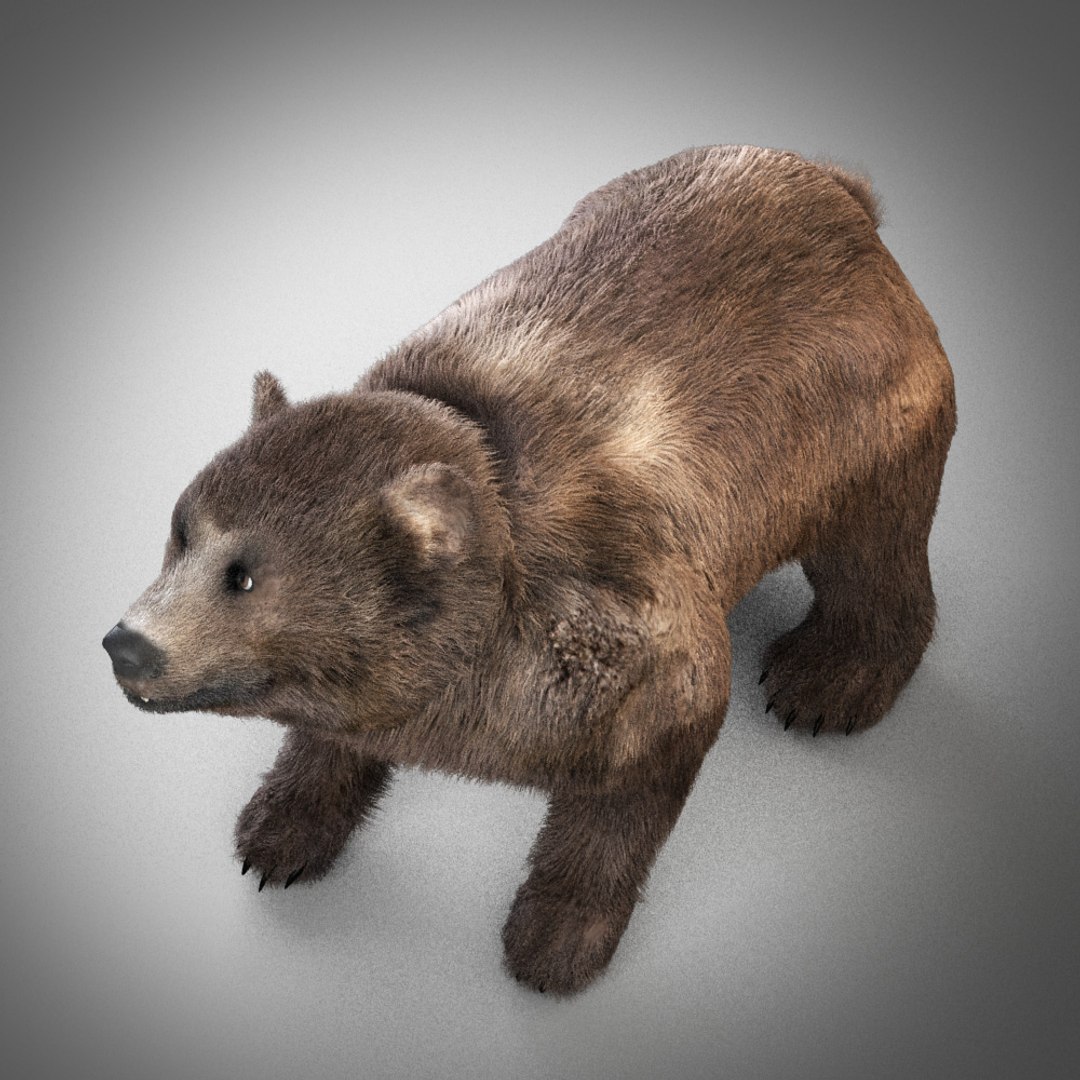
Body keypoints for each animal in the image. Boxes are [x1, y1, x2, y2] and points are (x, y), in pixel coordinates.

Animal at [103, 144, 956, 995]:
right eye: (181, 531)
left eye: (242, 575)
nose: (127, 643)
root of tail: (837, 190)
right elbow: (332, 741)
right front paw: (276, 833)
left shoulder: (619, 621)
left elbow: (637, 777)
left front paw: (554, 940)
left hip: (864, 434)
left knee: (872, 556)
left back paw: (828, 681)